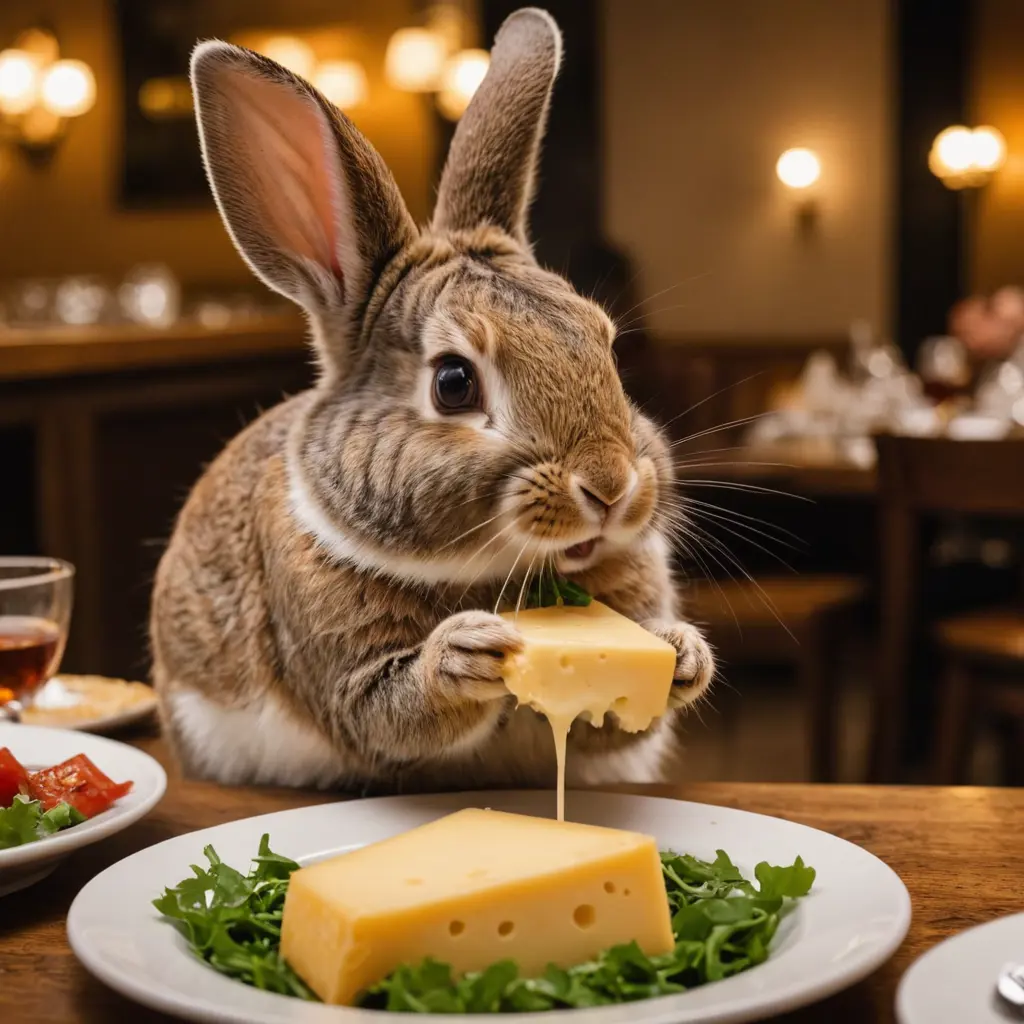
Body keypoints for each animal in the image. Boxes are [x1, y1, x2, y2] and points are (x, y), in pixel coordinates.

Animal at [150, 7, 714, 791]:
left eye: (605, 344)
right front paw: (464, 654)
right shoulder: (338, 658)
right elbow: (381, 709)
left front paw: (683, 652)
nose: (611, 487)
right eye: (453, 382)